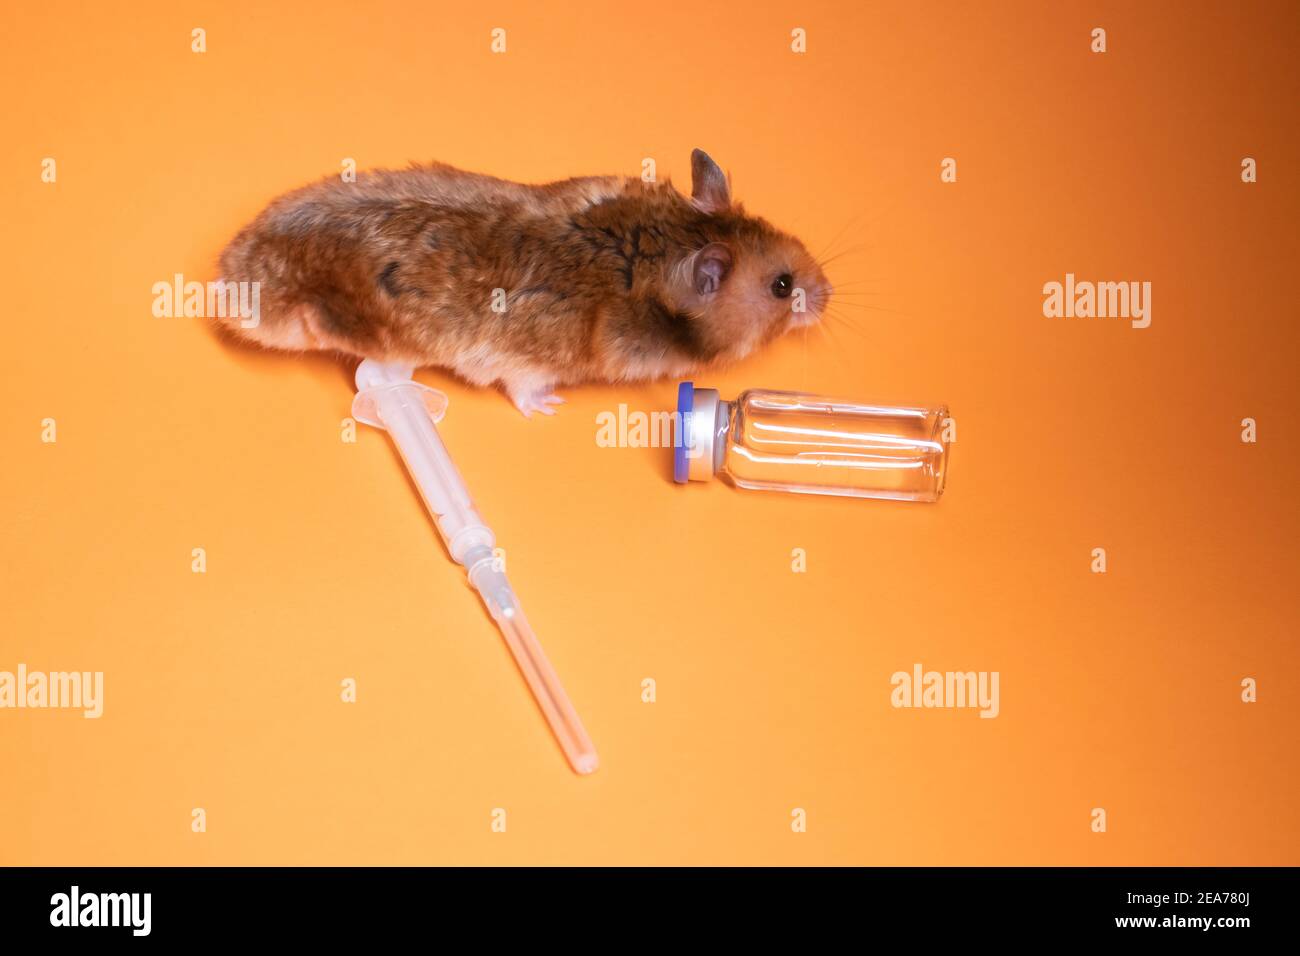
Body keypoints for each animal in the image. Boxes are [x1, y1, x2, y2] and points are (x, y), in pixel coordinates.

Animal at [216, 149, 832, 416]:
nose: (829, 293)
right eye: (782, 287)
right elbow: (523, 388)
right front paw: (550, 407)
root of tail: (224, 281)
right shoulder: (525, 360)